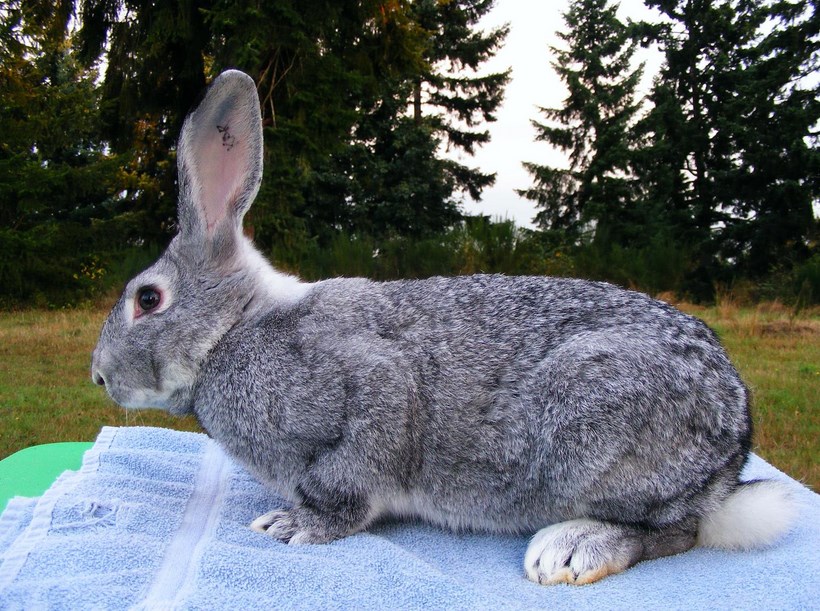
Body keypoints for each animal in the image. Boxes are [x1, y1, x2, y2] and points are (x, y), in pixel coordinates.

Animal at [91, 69, 796, 585]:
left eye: (147, 299)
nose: (99, 377)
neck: (233, 329)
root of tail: (732, 450)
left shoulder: (372, 389)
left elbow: (349, 479)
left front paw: (293, 527)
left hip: (590, 429)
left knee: (676, 530)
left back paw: (573, 549)